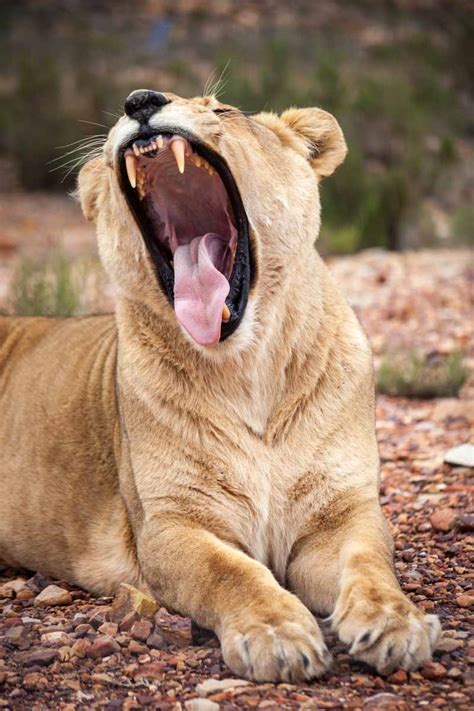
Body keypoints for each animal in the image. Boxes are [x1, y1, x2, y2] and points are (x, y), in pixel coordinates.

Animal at [0, 90, 440, 682]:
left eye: (224, 109)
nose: (139, 100)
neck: (247, 367)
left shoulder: (342, 511)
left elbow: (369, 562)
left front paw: (395, 625)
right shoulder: (171, 525)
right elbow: (230, 572)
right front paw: (278, 635)